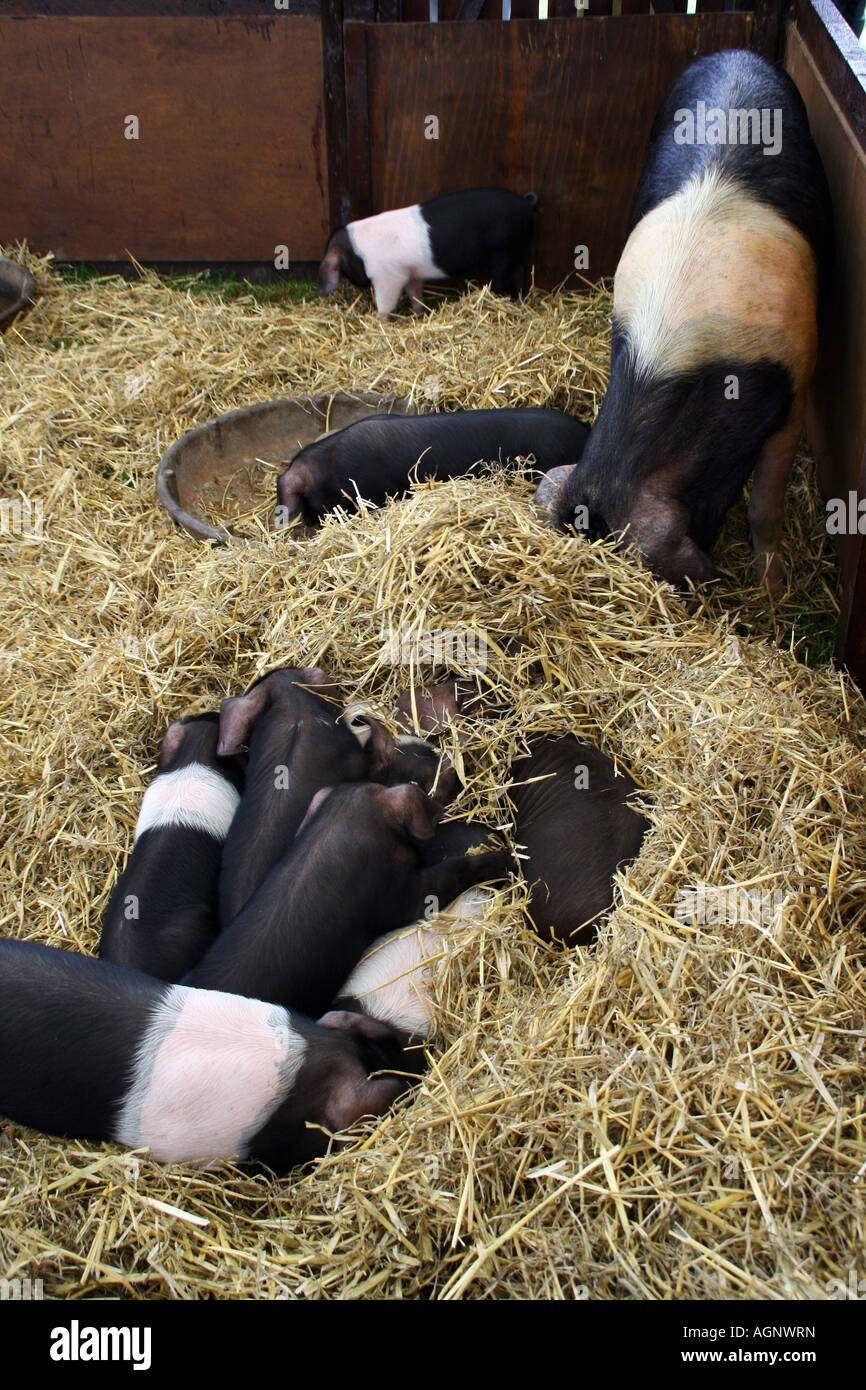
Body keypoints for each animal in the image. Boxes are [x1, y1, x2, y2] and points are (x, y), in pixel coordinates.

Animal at [317, 187, 540, 317]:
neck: (357, 251)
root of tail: (526, 204)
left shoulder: (388, 277)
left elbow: (385, 304)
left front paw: (379, 320)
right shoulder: (411, 272)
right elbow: (415, 294)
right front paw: (419, 314)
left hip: (501, 253)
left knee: (503, 279)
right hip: (514, 251)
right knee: (520, 271)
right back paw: (520, 301)